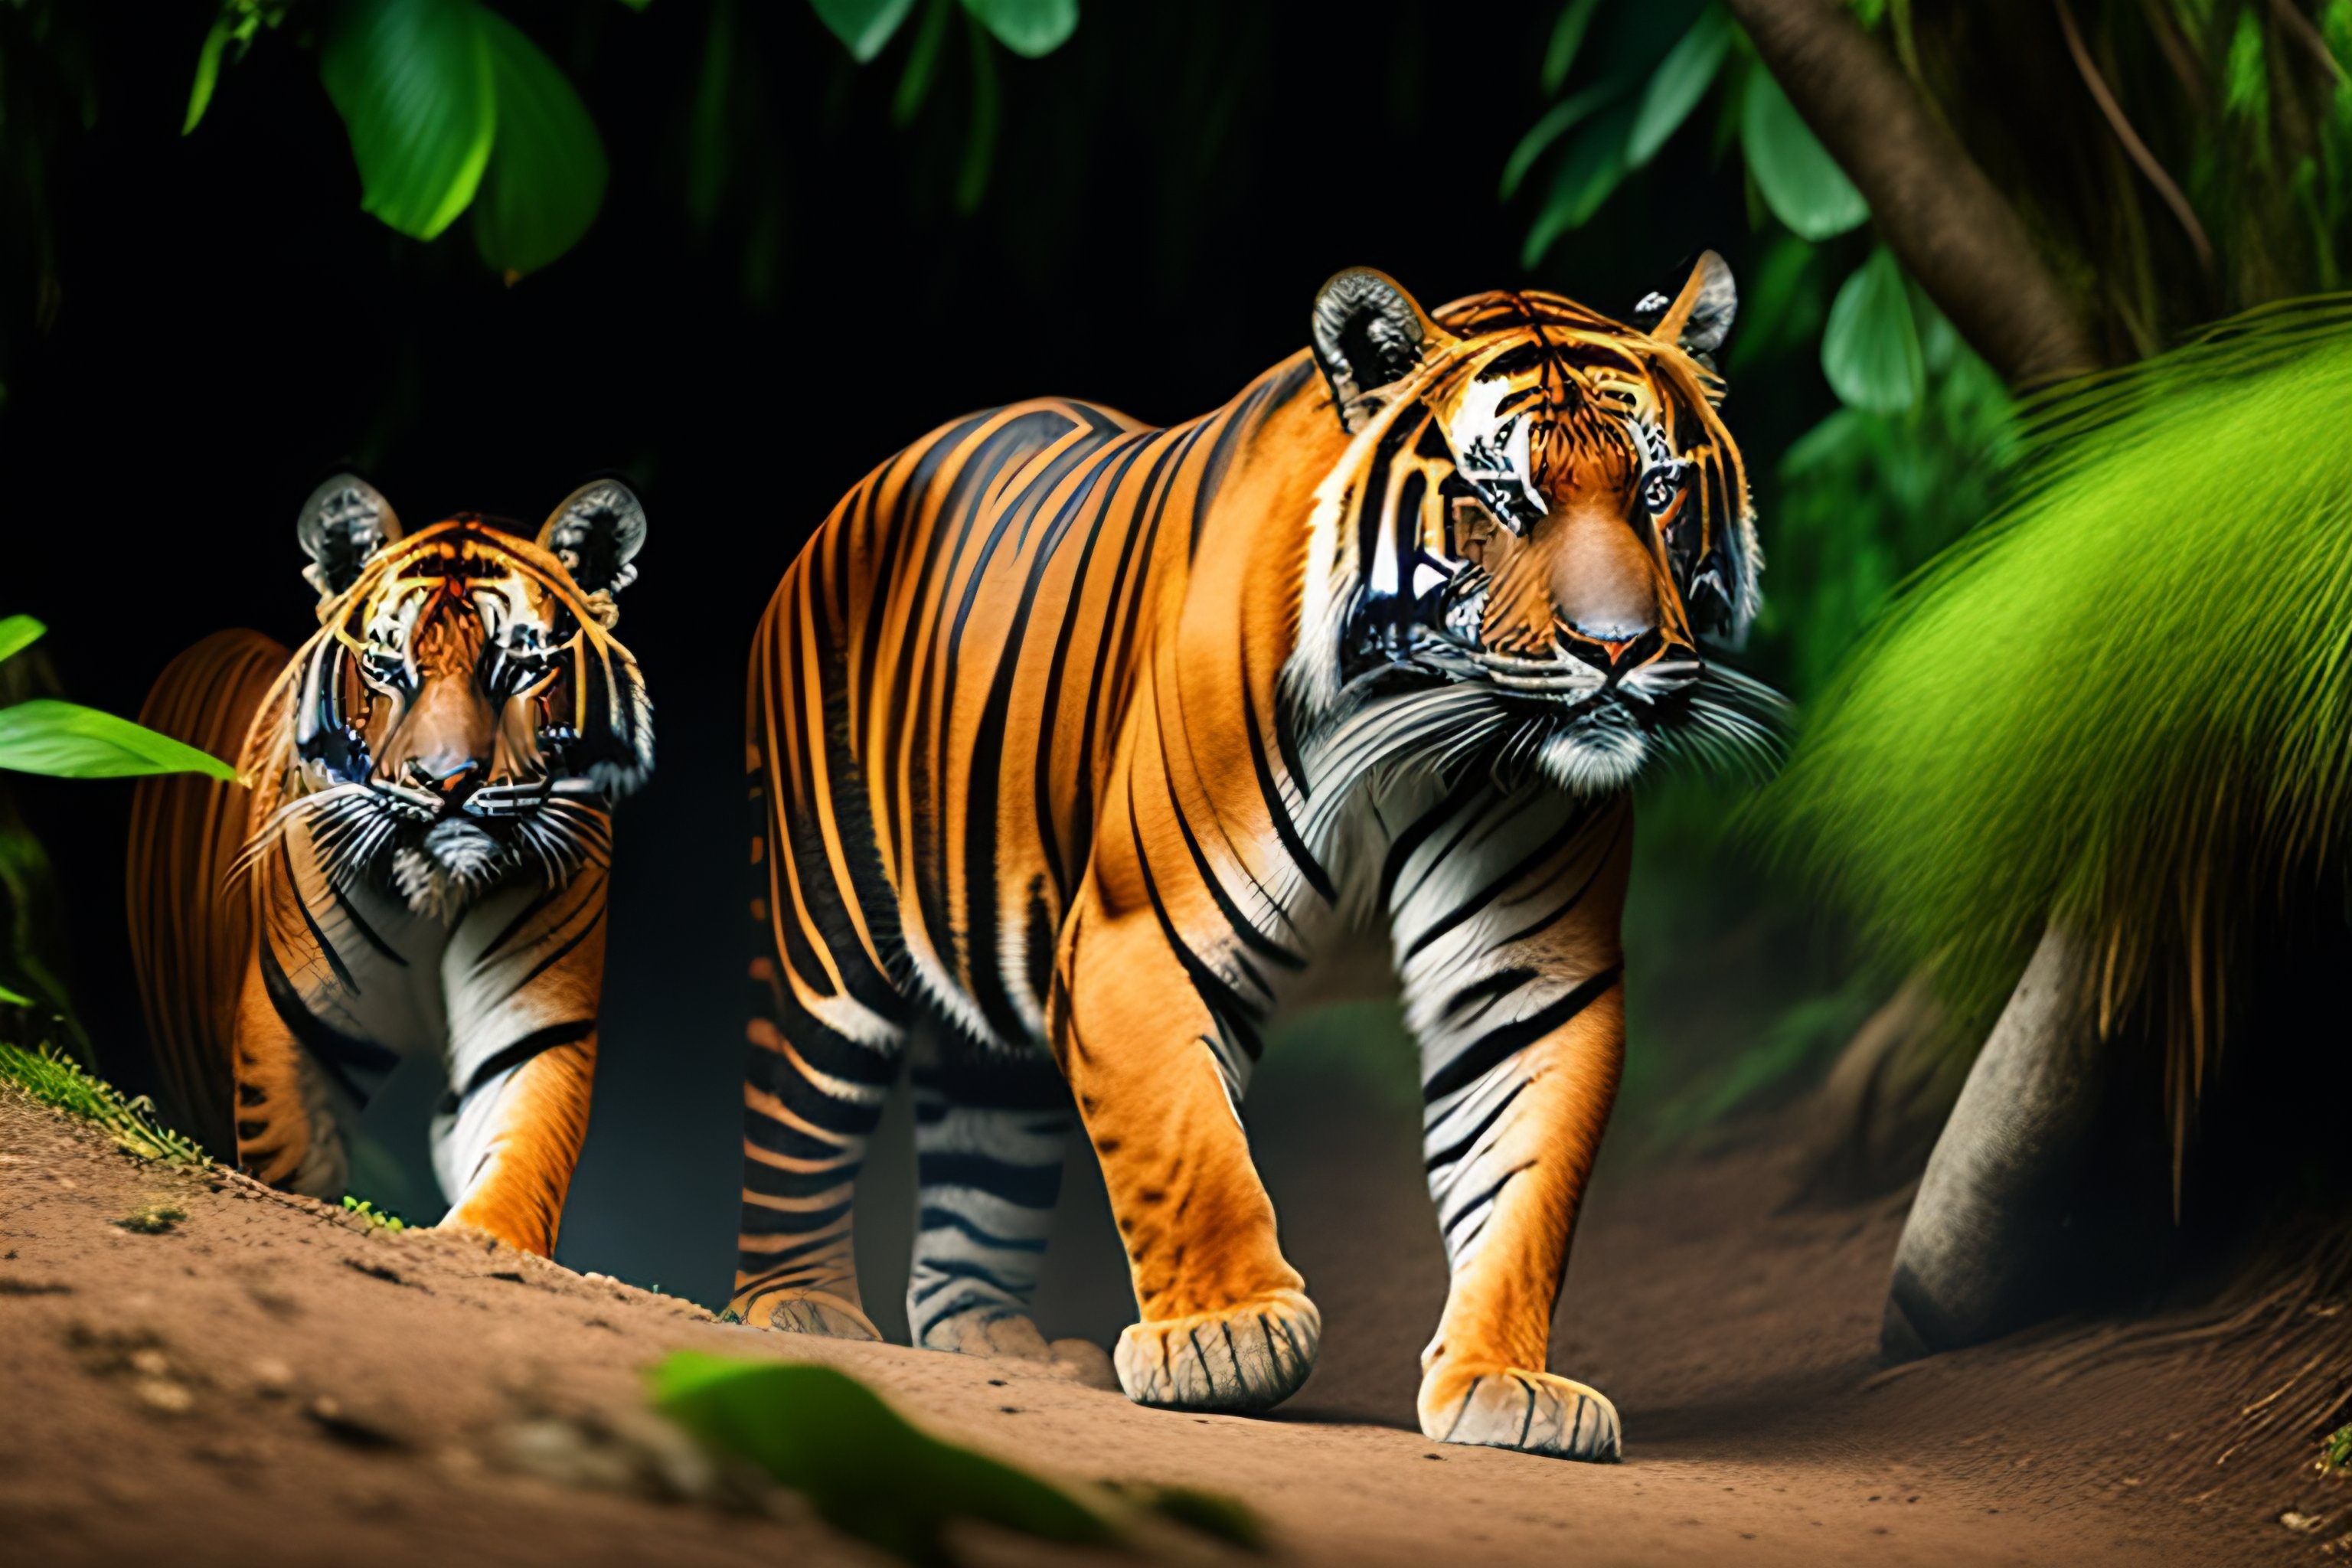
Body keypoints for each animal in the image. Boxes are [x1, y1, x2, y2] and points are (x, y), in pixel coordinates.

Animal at [126, 475, 653, 1258]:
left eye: (522, 666)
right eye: (385, 665)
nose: (447, 781)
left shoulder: (527, 1033)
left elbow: (520, 1164)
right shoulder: (296, 1021)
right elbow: (290, 1155)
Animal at [728, 254, 1771, 1462]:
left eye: (1658, 493)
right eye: (1504, 500)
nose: (1618, 650)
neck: (1407, 739)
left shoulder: (1528, 976)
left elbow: (1522, 1189)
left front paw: (1504, 1384)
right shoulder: (1136, 938)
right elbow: (1190, 1148)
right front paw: (1225, 1336)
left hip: (996, 1000)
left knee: (973, 1185)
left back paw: (1004, 1348)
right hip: (828, 933)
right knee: (794, 1119)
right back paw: (803, 1312)